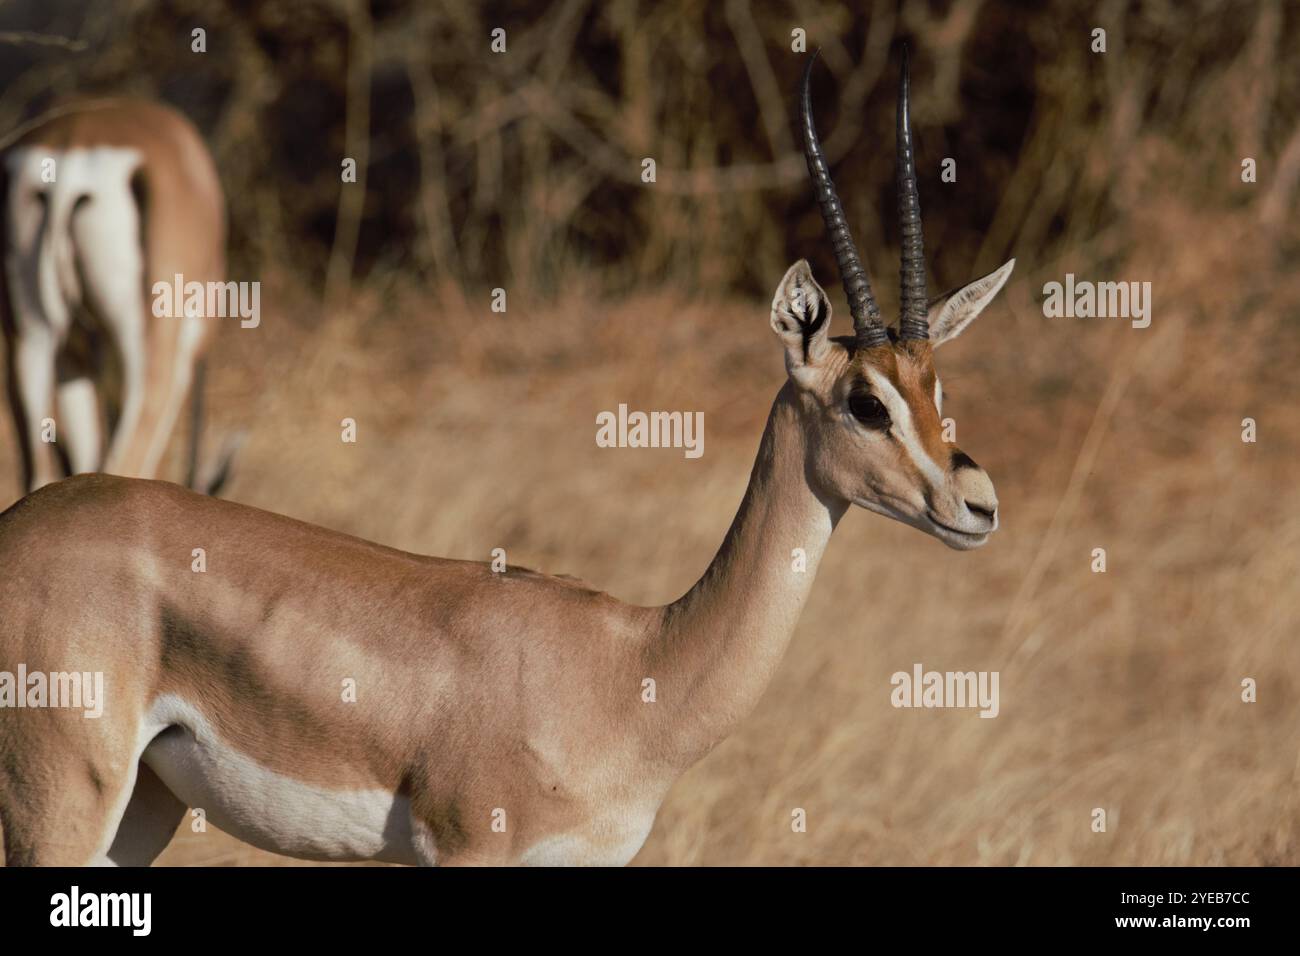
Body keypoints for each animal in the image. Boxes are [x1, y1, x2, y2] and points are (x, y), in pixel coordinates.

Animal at [0, 98, 234, 496]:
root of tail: (72, 153)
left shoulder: (74, 359)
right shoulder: (187, 352)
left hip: (31, 340)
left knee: (42, 475)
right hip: (147, 353)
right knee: (124, 461)